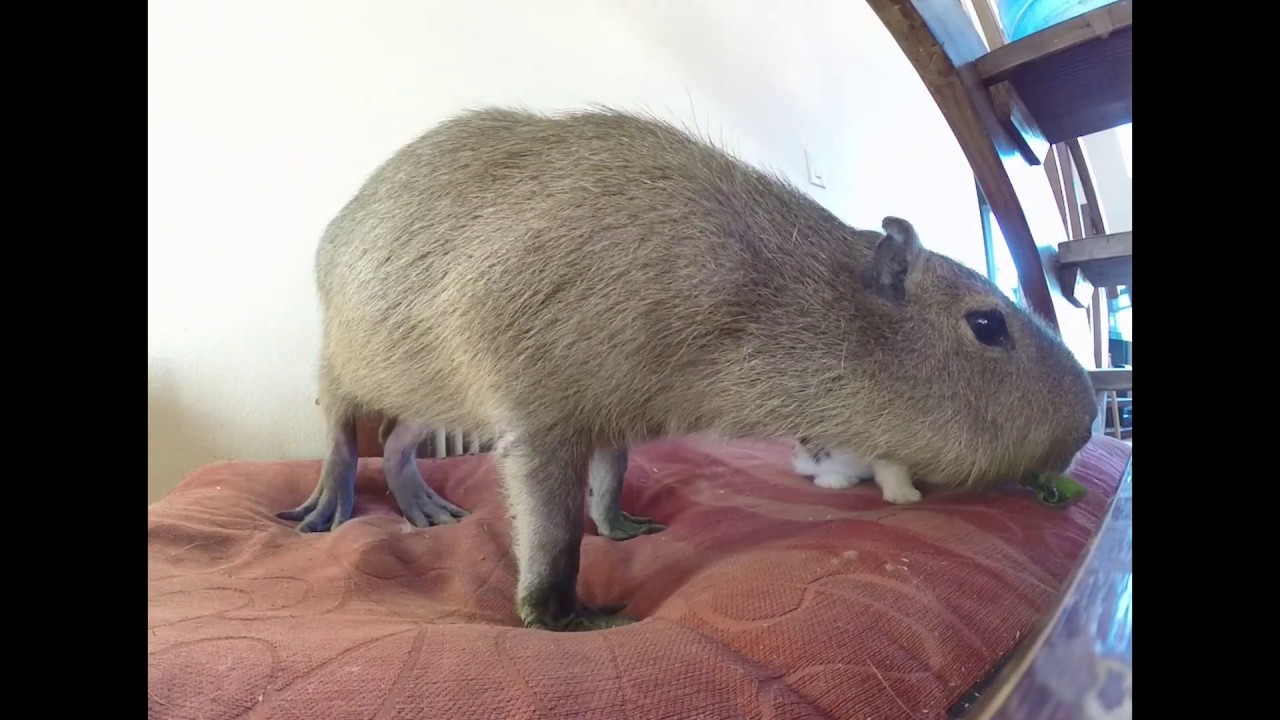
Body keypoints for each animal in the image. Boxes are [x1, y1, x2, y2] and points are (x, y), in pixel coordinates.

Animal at [278, 106, 1099, 632]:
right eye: (987, 324)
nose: (1093, 419)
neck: (760, 282)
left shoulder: (619, 407)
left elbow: (611, 472)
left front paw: (625, 524)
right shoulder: (533, 396)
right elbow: (551, 522)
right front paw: (568, 615)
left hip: (422, 392)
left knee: (398, 440)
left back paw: (426, 508)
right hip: (340, 360)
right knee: (345, 435)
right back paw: (325, 509)